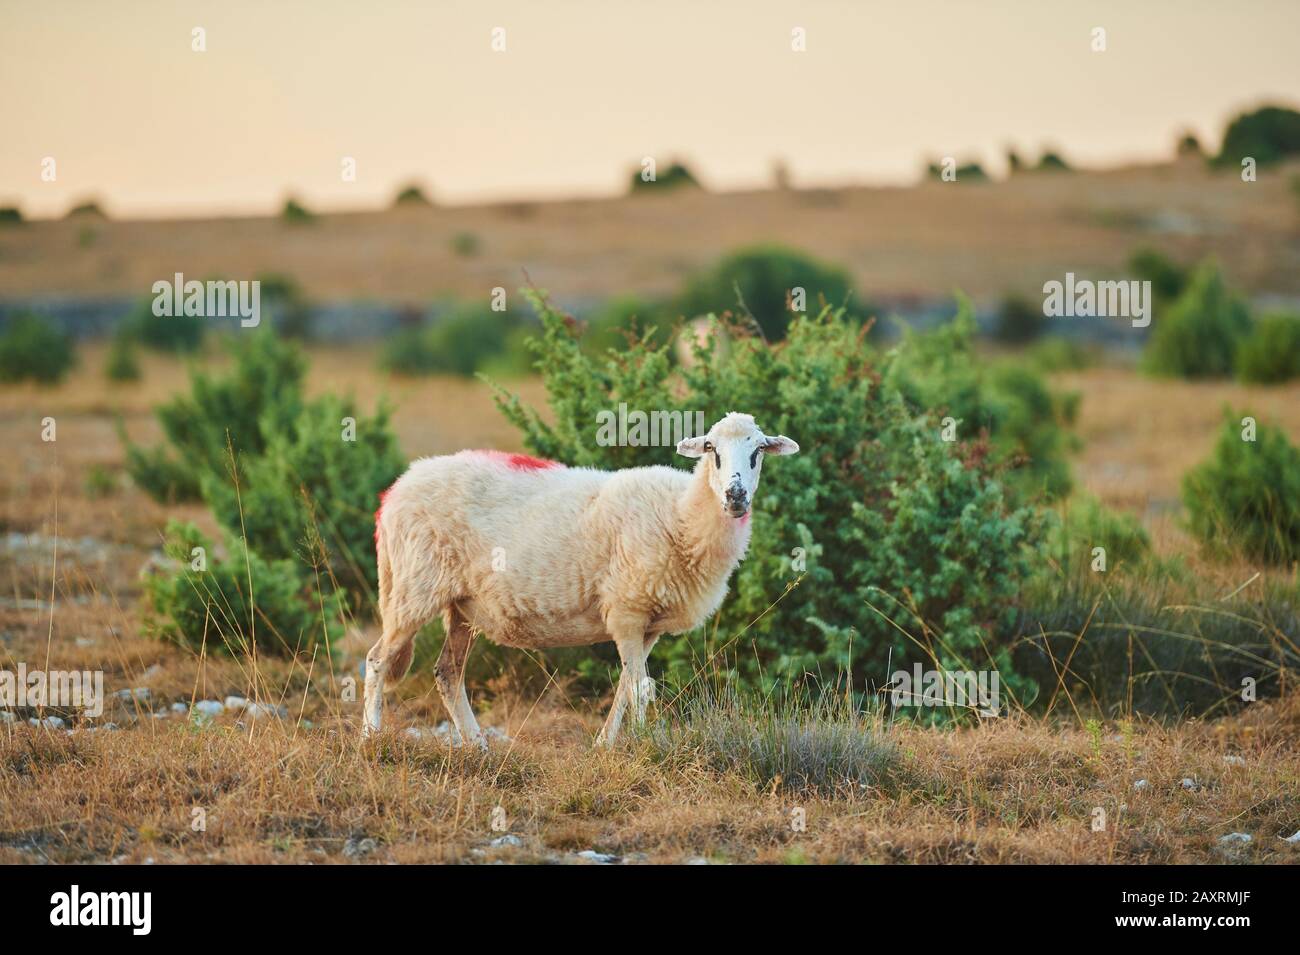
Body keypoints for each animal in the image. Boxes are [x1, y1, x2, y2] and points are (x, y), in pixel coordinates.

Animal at [362, 412, 799, 746]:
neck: (682, 517)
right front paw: (648, 747)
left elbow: (625, 686)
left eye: (758, 451)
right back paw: (371, 737)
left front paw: (605, 745)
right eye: (712, 450)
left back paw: (477, 745)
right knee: (378, 660)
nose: (736, 496)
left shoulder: (649, 624)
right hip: (414, 586)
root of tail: (395, 491)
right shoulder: (627, 610)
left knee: (448, 674)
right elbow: (640, 689)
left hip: (461, 605)